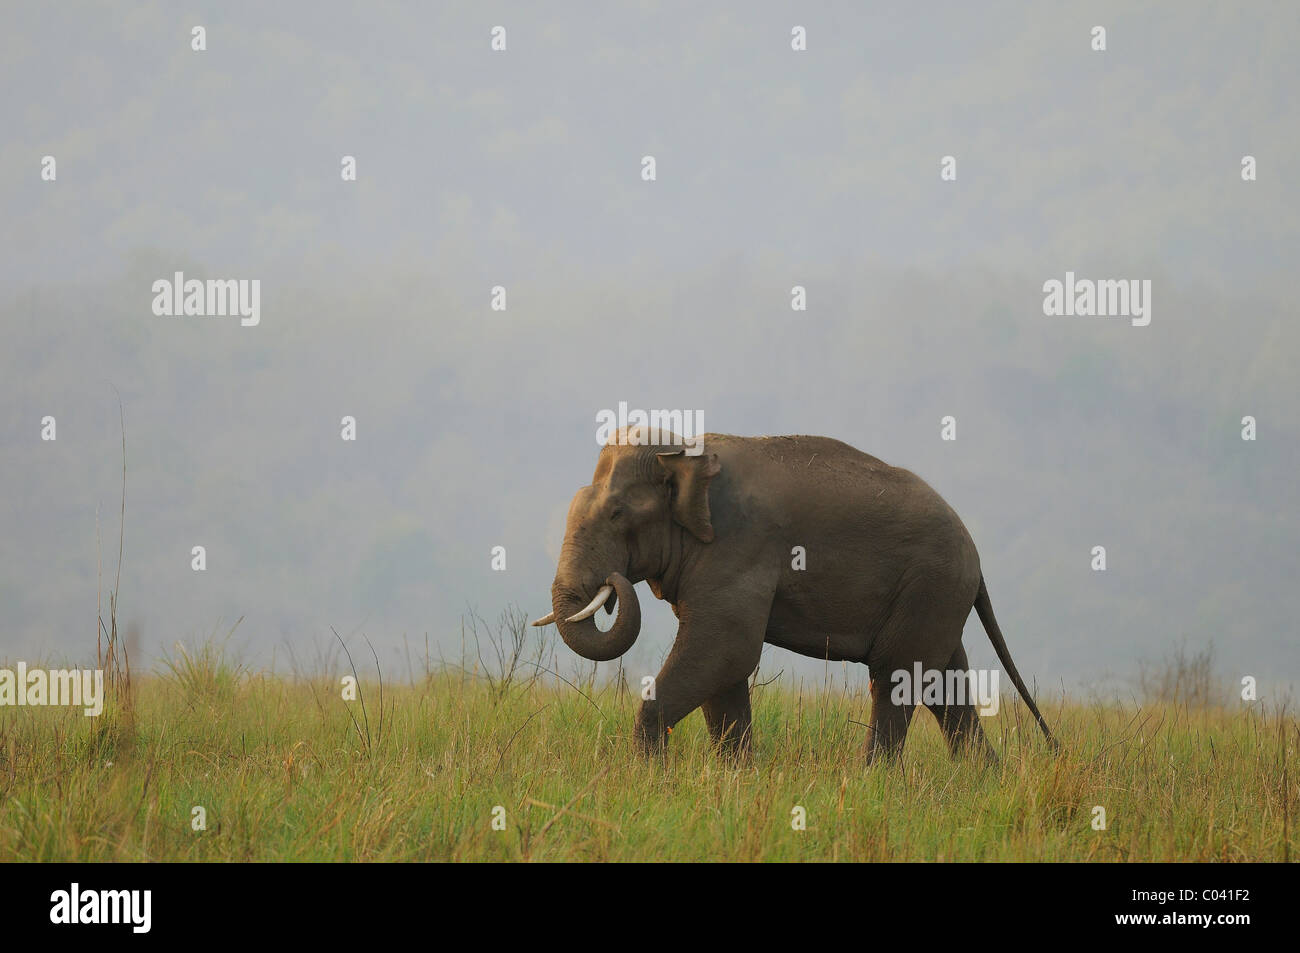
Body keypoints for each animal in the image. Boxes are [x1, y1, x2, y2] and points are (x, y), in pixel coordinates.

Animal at [530, 428, 1056, 762]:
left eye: (617, 514)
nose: (613, 584)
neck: (686, 450)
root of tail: (976, 555)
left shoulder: (738, 547)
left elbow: (726, 648)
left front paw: (654, 774)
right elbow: (723, 669)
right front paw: (737, 775)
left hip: (931, 585)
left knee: (897, 678)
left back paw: (871, 783)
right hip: (937, 597)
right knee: (943, 685)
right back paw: (983, 780)